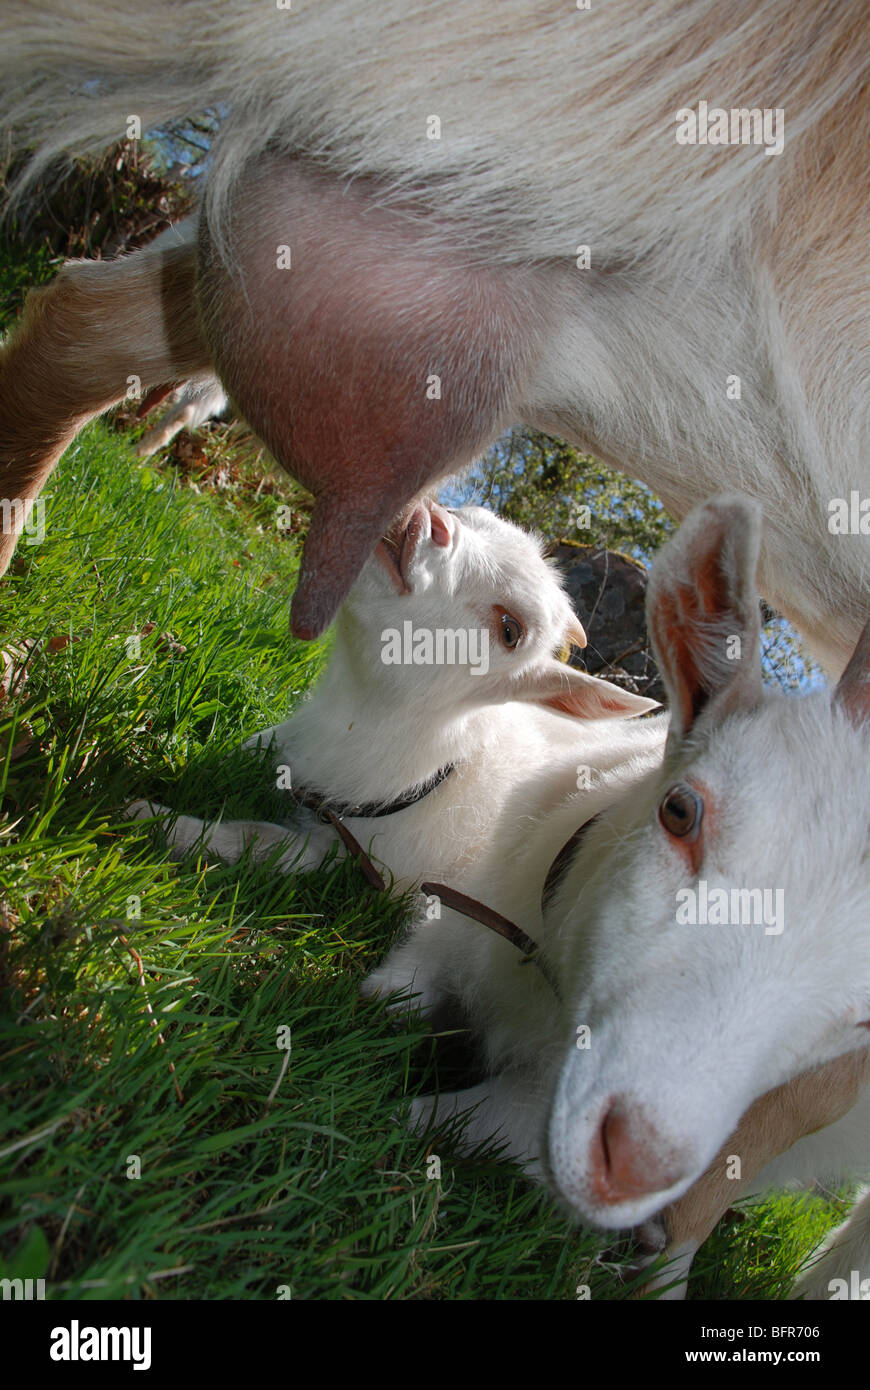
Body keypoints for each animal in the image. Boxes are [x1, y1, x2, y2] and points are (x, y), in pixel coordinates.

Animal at [129, 501, 655, 885]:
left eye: (511, 631)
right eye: (468, 513)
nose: (431, 518)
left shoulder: (354, 862)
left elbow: (261, 841)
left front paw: (157, 819)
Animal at [362, 494, 870, 1299]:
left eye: (867, 1014)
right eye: (680, 811)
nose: (631, 1164)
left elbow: (431, 1119)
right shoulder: (461, 915)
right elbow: (389, 993)